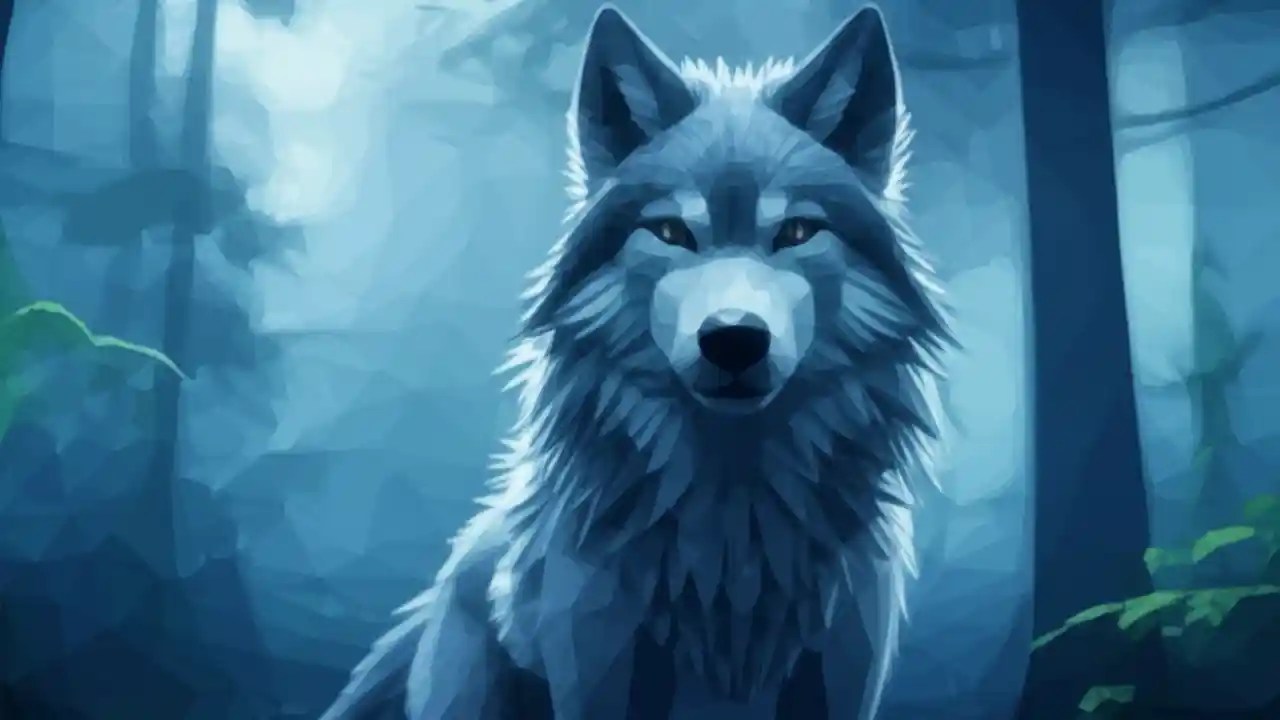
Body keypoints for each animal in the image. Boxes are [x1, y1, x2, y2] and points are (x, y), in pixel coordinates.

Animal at [321, 4, 950, 719]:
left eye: (796, 232)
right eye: (671, 232)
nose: (734, 339)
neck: (732, 541)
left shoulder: (843, 670)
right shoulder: (597, 667)